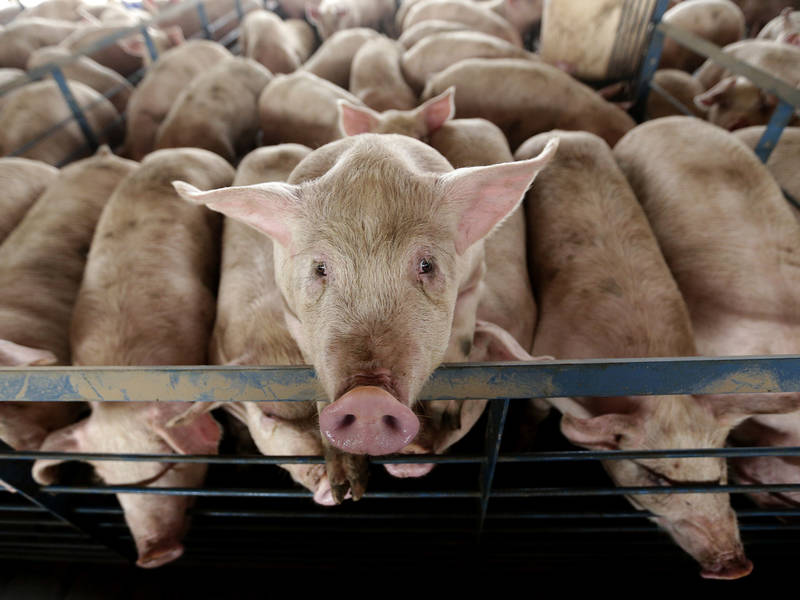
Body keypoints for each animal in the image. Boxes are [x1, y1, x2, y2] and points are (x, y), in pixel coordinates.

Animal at [173, 133, 559, 463]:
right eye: (320, 268)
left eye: (427, 265)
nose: (368, 398)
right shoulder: (289, 310)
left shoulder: (475, 276)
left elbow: (461, 335)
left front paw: (445, 414)